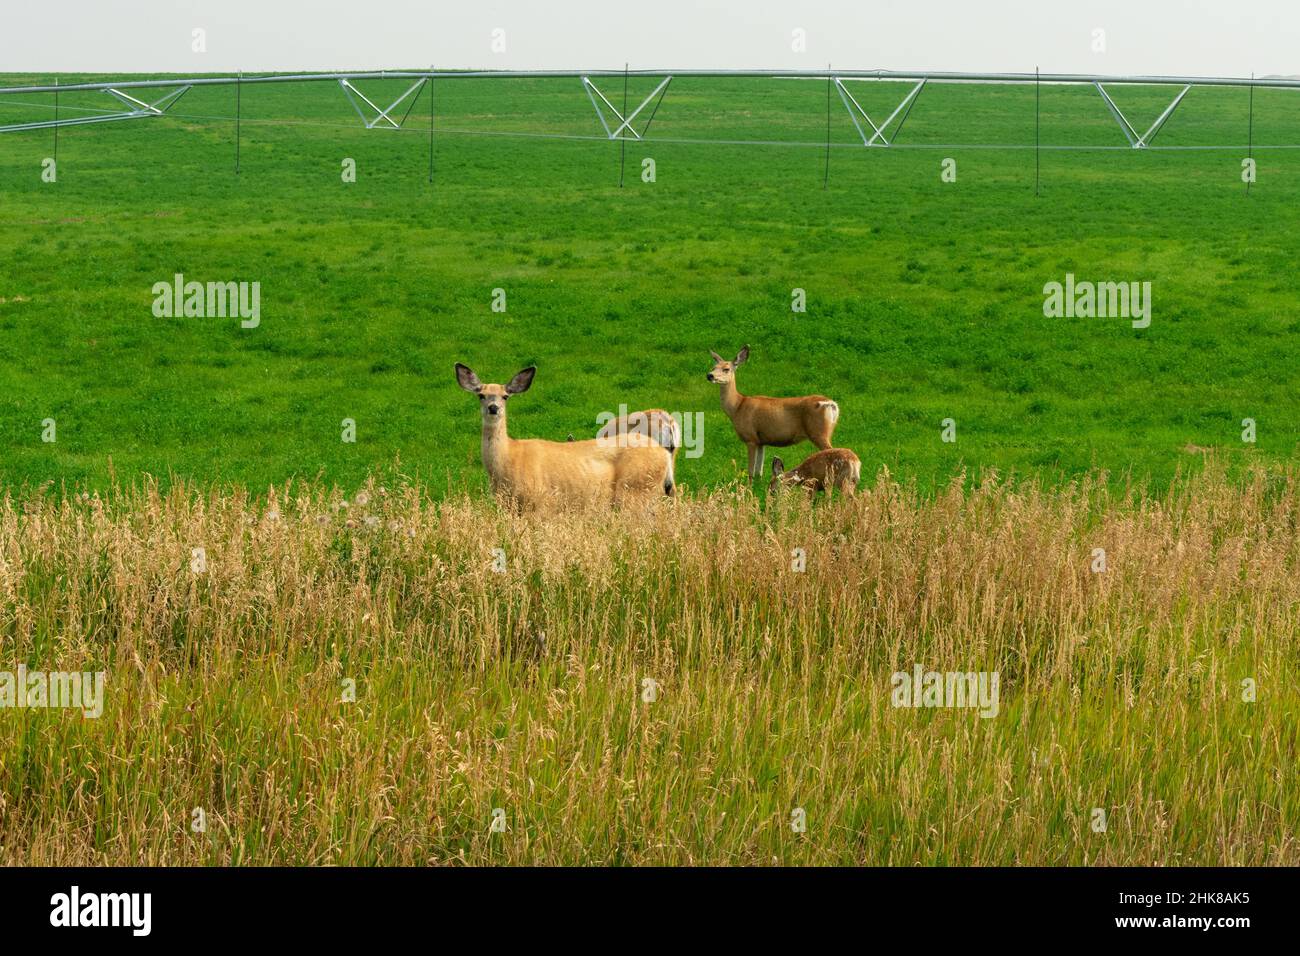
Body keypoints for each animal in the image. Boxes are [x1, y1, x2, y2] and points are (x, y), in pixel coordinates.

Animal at [456, 364, 674, 511]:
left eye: (505, 396)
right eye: (481, 395)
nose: (493, 408)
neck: (508, 459)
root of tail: (664, 454)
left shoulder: (541, 502)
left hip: (636, 491)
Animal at [707, 346, 839, 478]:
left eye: (726, 369)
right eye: (713, 367)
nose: (709, 375)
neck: (737, 407)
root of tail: (832, 404)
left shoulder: (750, 438)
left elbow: (750, 472)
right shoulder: (761, 441)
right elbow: (758, 472)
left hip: (818, 432)